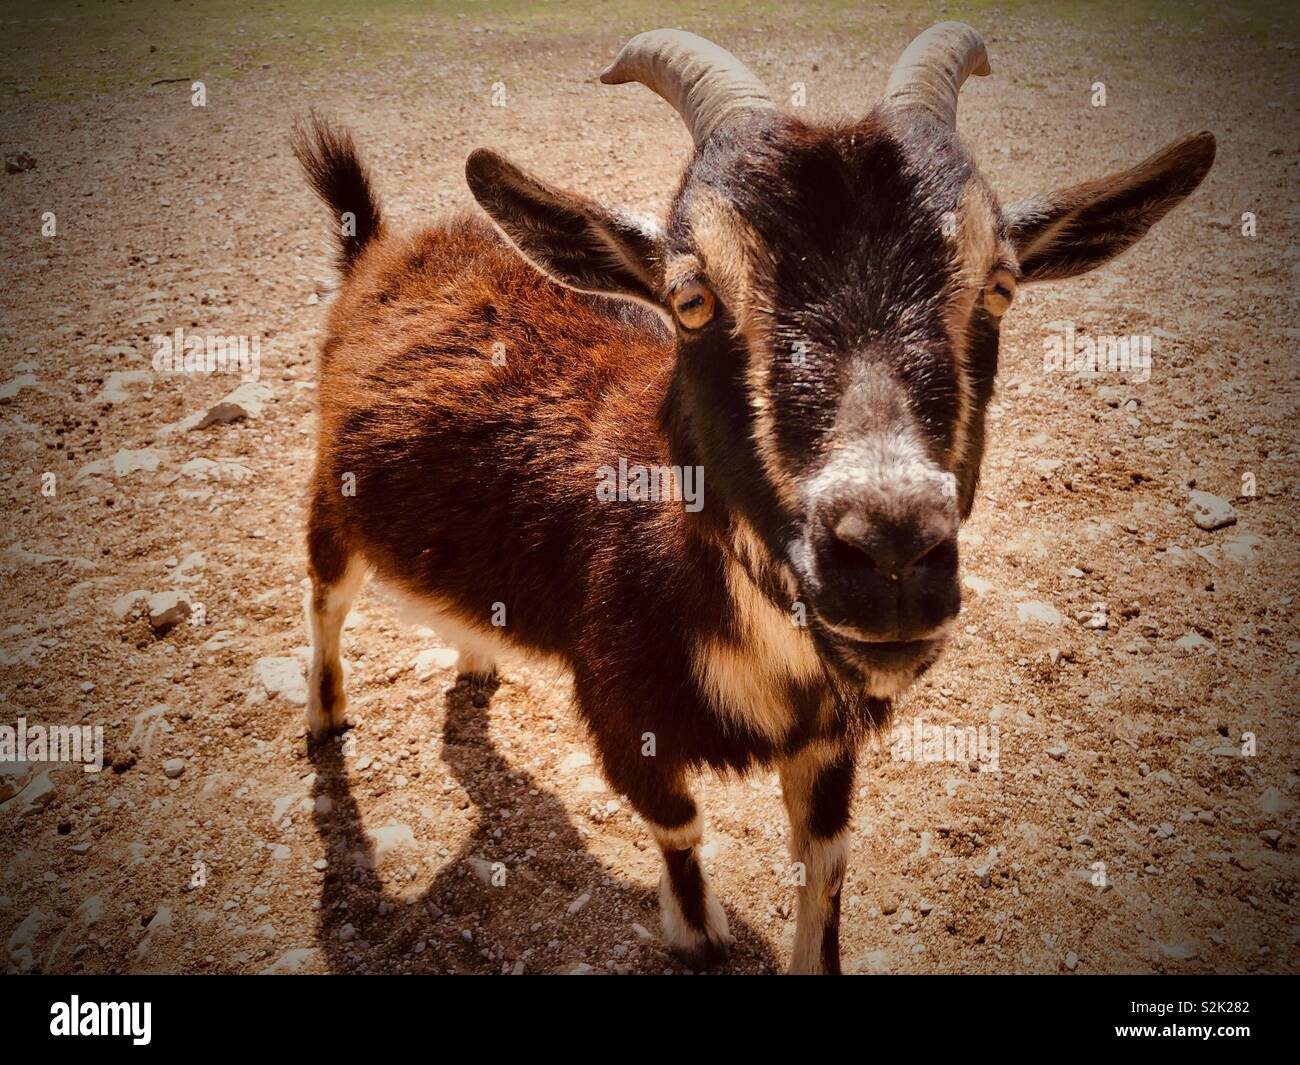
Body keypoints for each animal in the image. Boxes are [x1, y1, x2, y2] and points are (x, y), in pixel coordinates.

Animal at [292, 23, 1214, 974]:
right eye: (690, 298)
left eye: (1000, 286)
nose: (890, 555)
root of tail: (381, 247)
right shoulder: (621, 719)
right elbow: (678, 825)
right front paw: (697, 930)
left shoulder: (828, 741)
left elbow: (826, 859)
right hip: (331, 494)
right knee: (325, 597)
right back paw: (325, 718)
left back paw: (478, 656)